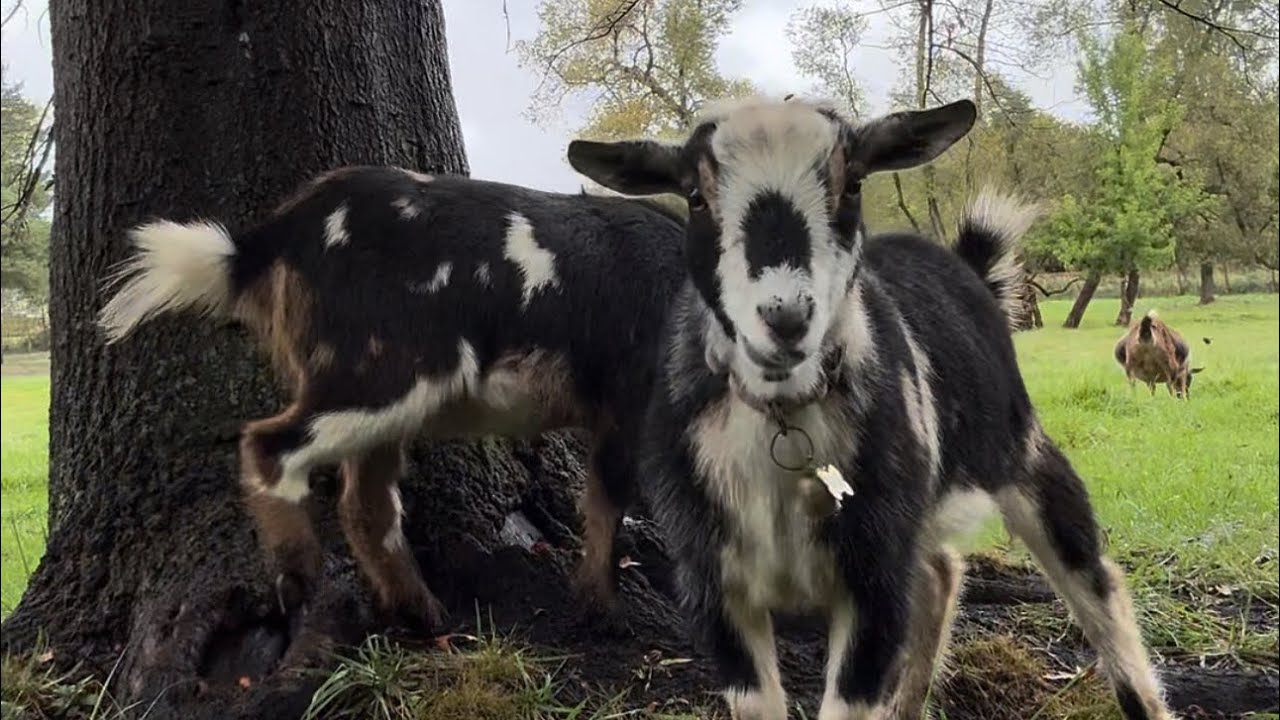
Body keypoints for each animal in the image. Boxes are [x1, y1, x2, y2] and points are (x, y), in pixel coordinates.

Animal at [96, 166, 688, 631]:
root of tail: (264, 241)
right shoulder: (633, 404)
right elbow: (611, 505)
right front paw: (609, 618)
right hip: (383, 373)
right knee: (270, 443)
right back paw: (302, 583)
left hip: (382, 396)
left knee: (364, 501)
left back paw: (426, 616)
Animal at [568, 95, 1177, 720]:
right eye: (694, 194)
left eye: (854, 182)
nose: (786, 318)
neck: (784, 419)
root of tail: (965, 266)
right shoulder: (716, 588)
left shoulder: (874, 587)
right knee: (940, 572)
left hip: (1021, 448)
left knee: (1095, 580)